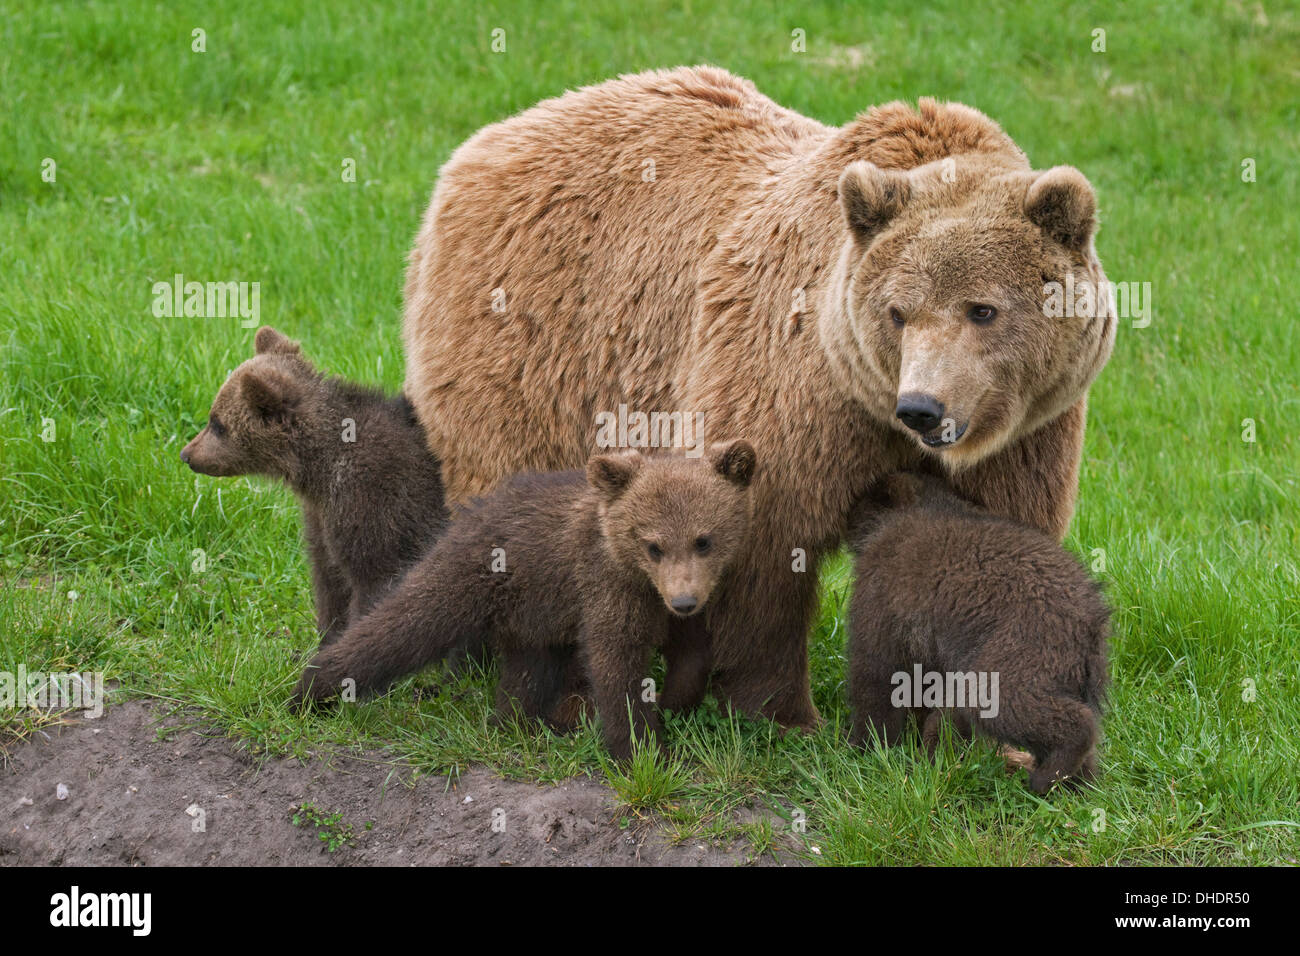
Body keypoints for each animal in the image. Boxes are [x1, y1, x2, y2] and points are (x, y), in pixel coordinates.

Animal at [180, 325, 450, 647]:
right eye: (213, 416)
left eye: (218, 424)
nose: (187, 454)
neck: (317, 469)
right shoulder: (320, 519)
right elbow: (328, 581)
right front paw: (325, 637)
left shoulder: (375, 504)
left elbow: (373, 582)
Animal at [292, 440, 758, 760]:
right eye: (653, 545)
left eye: (704, 540)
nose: (683, 600)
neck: (642, 580)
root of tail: (471, 512)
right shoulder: (606, 586)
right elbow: (615, 665)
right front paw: (642, 750)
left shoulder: (681, 600)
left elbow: (693, 654)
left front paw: (673, 704)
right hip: (471, 576)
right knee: (404, 623)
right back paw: (313, 688)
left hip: (534, 613)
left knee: (527, 671)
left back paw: (516, 722)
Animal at [401, 66, 1115, 731]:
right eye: (897, 312)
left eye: (982, 309)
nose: (923, 407)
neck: (867, 398)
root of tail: (486, 141)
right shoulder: (790, 386)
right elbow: (765, 548)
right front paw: (782, 713)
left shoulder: (1025, 432)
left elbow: (991, 543)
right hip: (535, 346)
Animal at [844, 471, 1110, 794]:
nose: (846, 518)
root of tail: (1091, 622)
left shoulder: (879, 595)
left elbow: (875, 677)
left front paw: (866, 748)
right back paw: (1080, 784)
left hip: (1021, 651)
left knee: (1019, 705)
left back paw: (1046, 777)